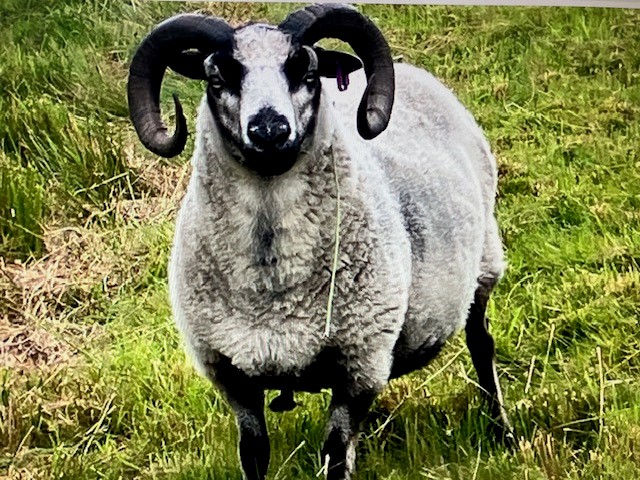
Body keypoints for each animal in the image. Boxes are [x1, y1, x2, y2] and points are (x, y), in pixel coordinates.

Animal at [127, 4, 512, 479]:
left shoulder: (359, 365)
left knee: (481, 344)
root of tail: (412, 71)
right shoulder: (231, 375)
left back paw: (503, 432)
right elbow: (253, 454)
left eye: (307, 73)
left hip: (483, 266)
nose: (269, 130)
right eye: (217, 79)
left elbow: (335, 454)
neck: (272, 285)